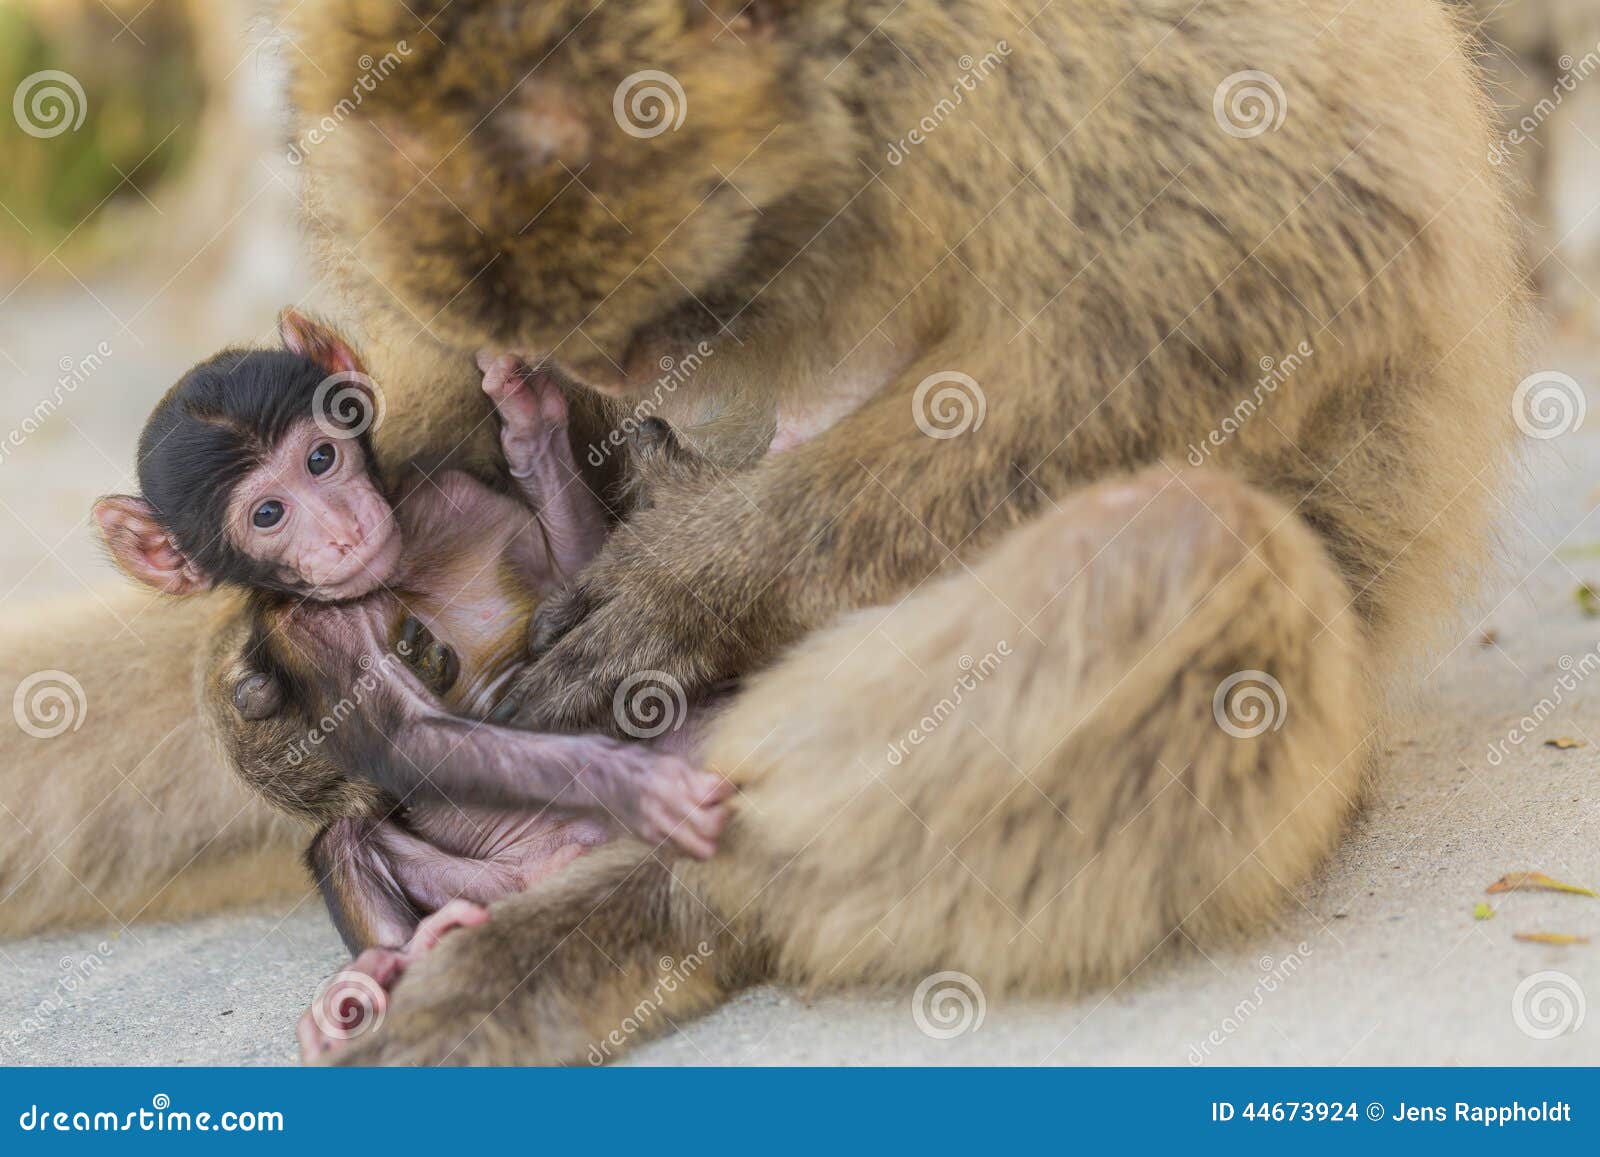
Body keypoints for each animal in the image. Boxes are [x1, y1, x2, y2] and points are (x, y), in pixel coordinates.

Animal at [91, 310, 730, 863]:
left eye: (320, 459)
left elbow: (570, 581)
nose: (344, 531)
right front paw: (629, 780)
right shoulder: (307, 631)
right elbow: (413, 746)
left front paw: (527, 421)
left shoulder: (452, 498)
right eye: (268, 515)